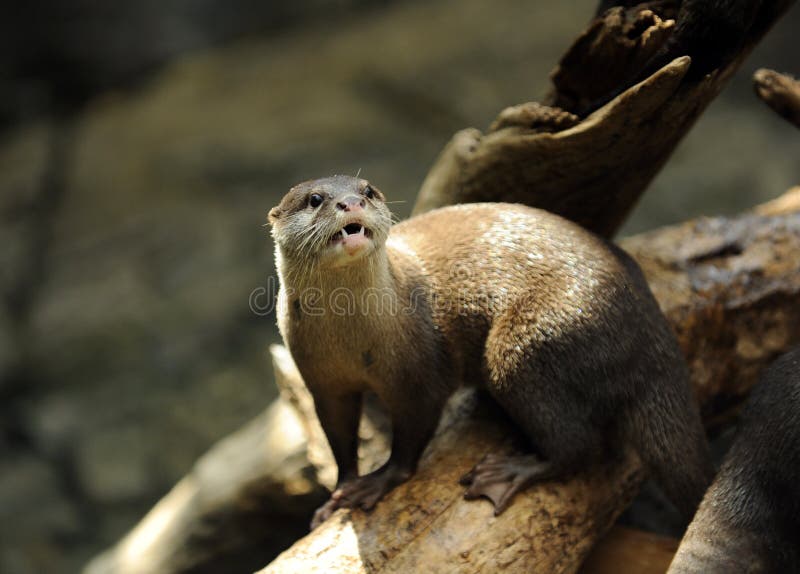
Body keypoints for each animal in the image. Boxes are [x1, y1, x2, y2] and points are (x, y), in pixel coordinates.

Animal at [267, 175, 713, 529]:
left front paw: (377, 482)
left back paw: (511, 471)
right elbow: (337, 436)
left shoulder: (420, 375)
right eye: (315, 199)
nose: (352, 203)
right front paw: (338, 493)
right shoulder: (322, 381)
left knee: (582, 446)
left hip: (528, 345)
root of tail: (650, 327)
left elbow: (412, 437)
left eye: (368, 191)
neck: (353, 344)